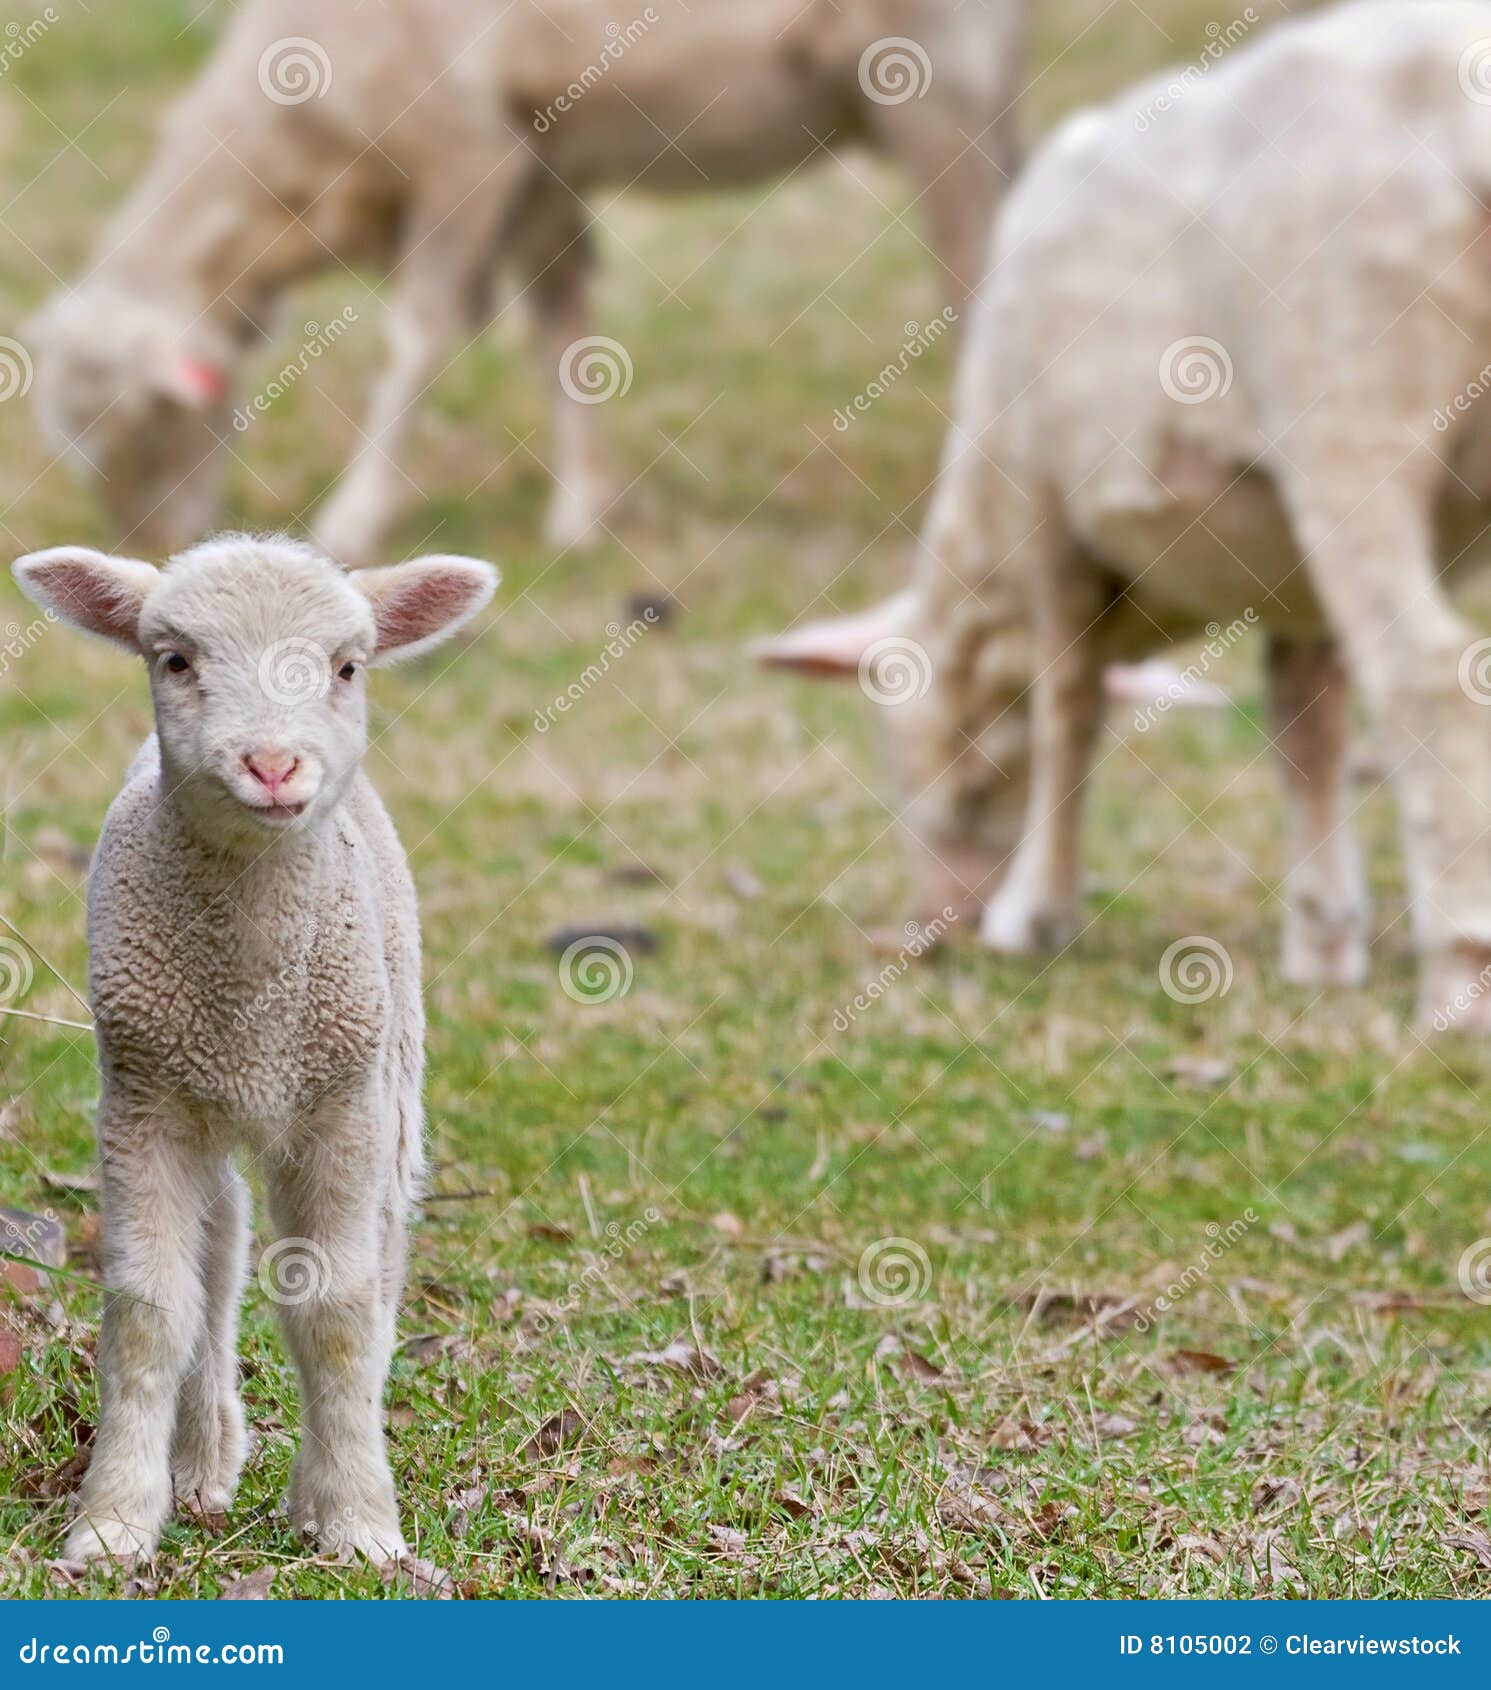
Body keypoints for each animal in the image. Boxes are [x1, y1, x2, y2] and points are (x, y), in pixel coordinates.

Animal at [11, 534, 497, 1563]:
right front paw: (113, 1522)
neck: (251, 1006)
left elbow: (337, 1313)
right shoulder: (144, 1101)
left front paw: (356, 1520)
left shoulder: (342, 1108)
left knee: (379, 1263)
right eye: (174, 660)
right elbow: (151, 1310)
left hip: (391, 1078)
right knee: (222, 1256)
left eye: (347, 667)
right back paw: (200, 1466)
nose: (272, 765)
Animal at [27, 0, 1026, 564]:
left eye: (145, 421)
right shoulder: (542, 168)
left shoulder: (469, 152)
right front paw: (584, 515)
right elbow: (560, 335)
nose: (154, 549)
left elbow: (416, 339)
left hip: (932, 84)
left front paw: (353, 519)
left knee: (974, 290)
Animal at [759, 0, 1491, 1030]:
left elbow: (1067, 711)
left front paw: (1034, 911)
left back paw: (1457, 985)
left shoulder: (1046, 516)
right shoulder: (1292, 579)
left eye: (888, 742)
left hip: (1346, 410)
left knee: (1427, 672)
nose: (939, 922)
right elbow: (1303, 728)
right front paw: (1321, 941)